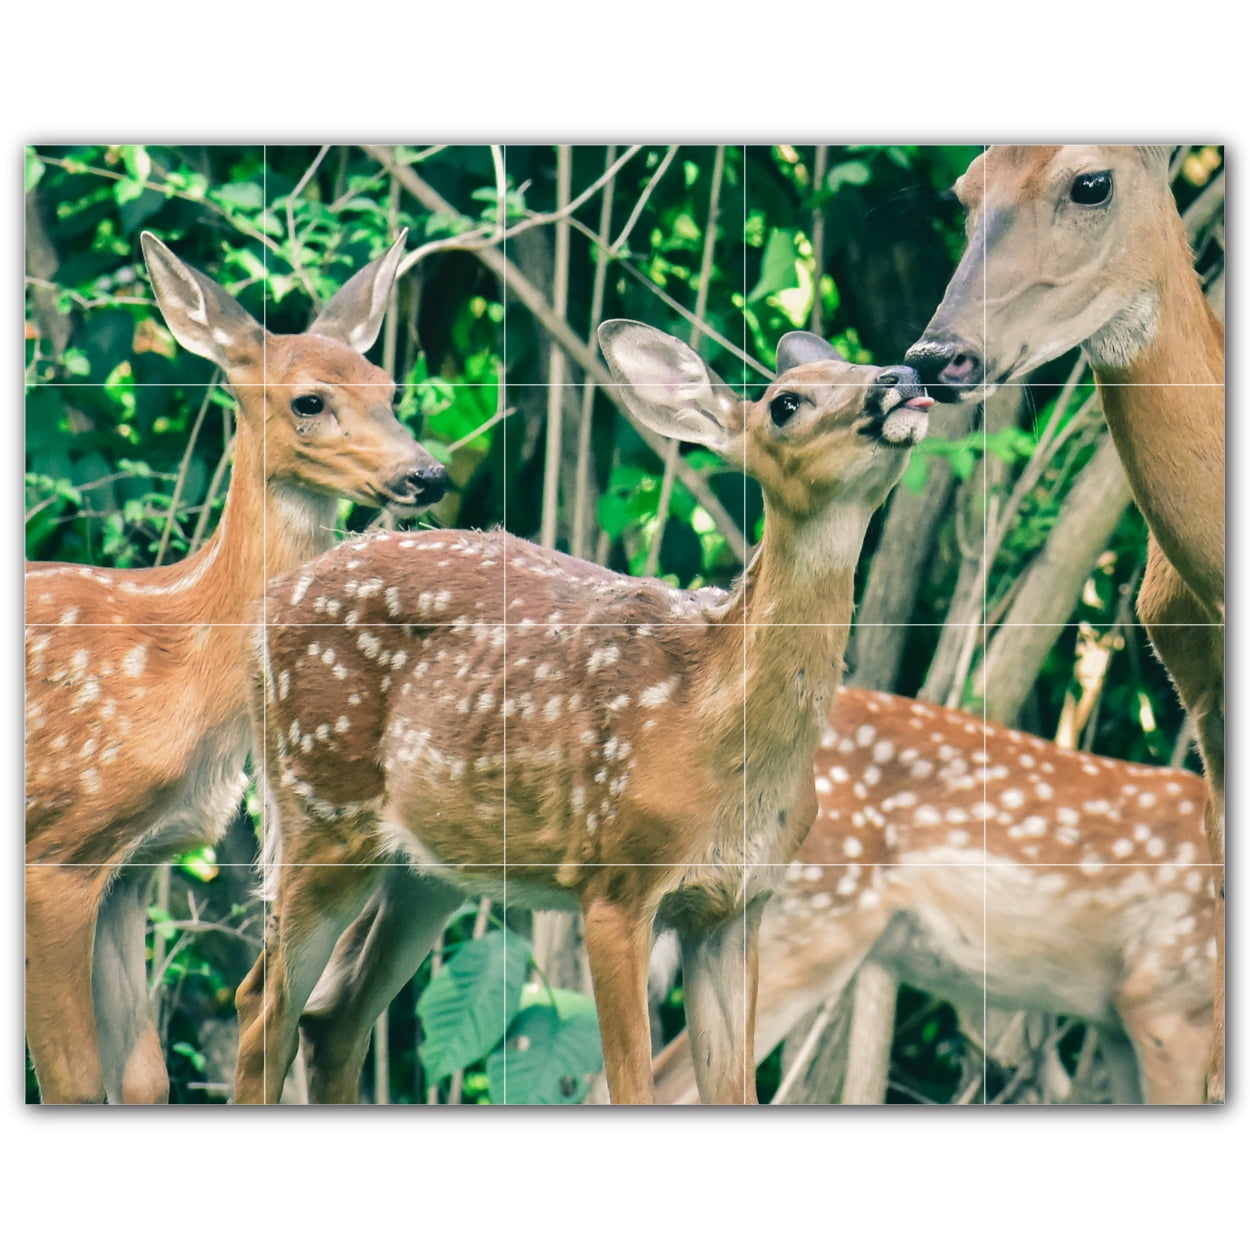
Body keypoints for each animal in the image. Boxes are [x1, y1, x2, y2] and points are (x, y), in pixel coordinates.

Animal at [25, 231, 448, 1104]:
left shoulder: (134, 862)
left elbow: (144, 1081)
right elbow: (76, 1084)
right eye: (310, 401)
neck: (178, 660)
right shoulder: (53, 849)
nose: (427, 475)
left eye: (389, 389)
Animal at [231, 320, 932, 1104]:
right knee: (261, 1008)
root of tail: (263, 611)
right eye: (785, 404)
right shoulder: (614, 881)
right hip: (320, 809)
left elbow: (735, 1090)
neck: (712, 728)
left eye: (865, 359)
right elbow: (631, 1088)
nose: (902, 376)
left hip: (427, 867)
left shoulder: (738, 905)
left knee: (333, 1019)